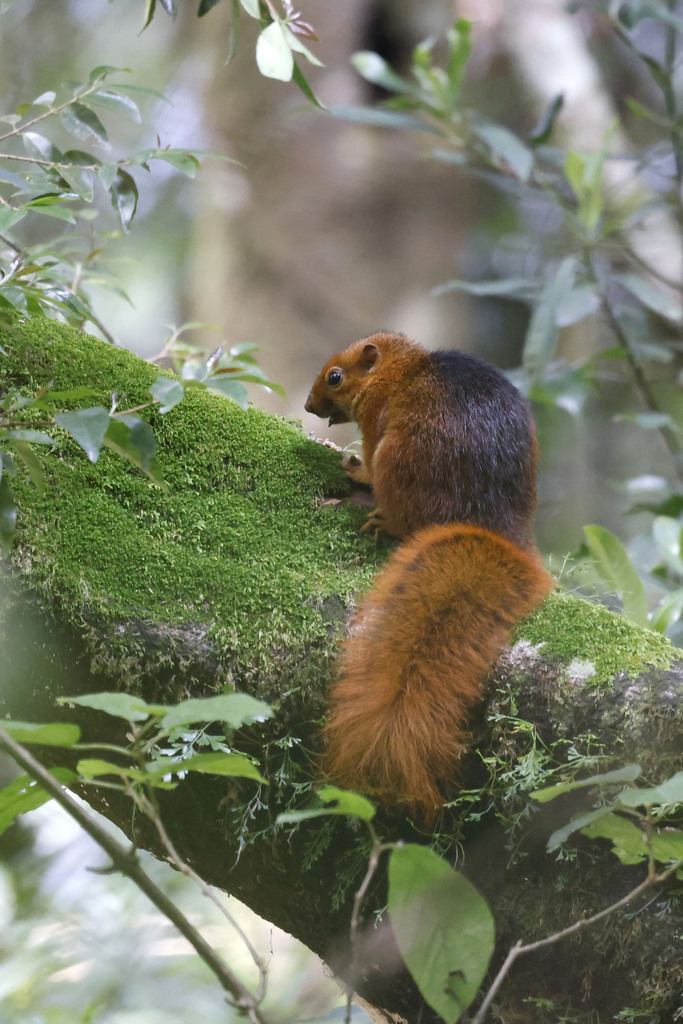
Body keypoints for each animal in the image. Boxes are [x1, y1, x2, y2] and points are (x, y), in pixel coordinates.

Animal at [305, 331, 553, 819]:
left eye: (335, 377)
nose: (308, 406)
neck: (399, 371)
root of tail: (495, 527)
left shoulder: (376, 418)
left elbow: (364, 456)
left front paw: (351, 465)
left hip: (398, 458)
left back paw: (383, 519)